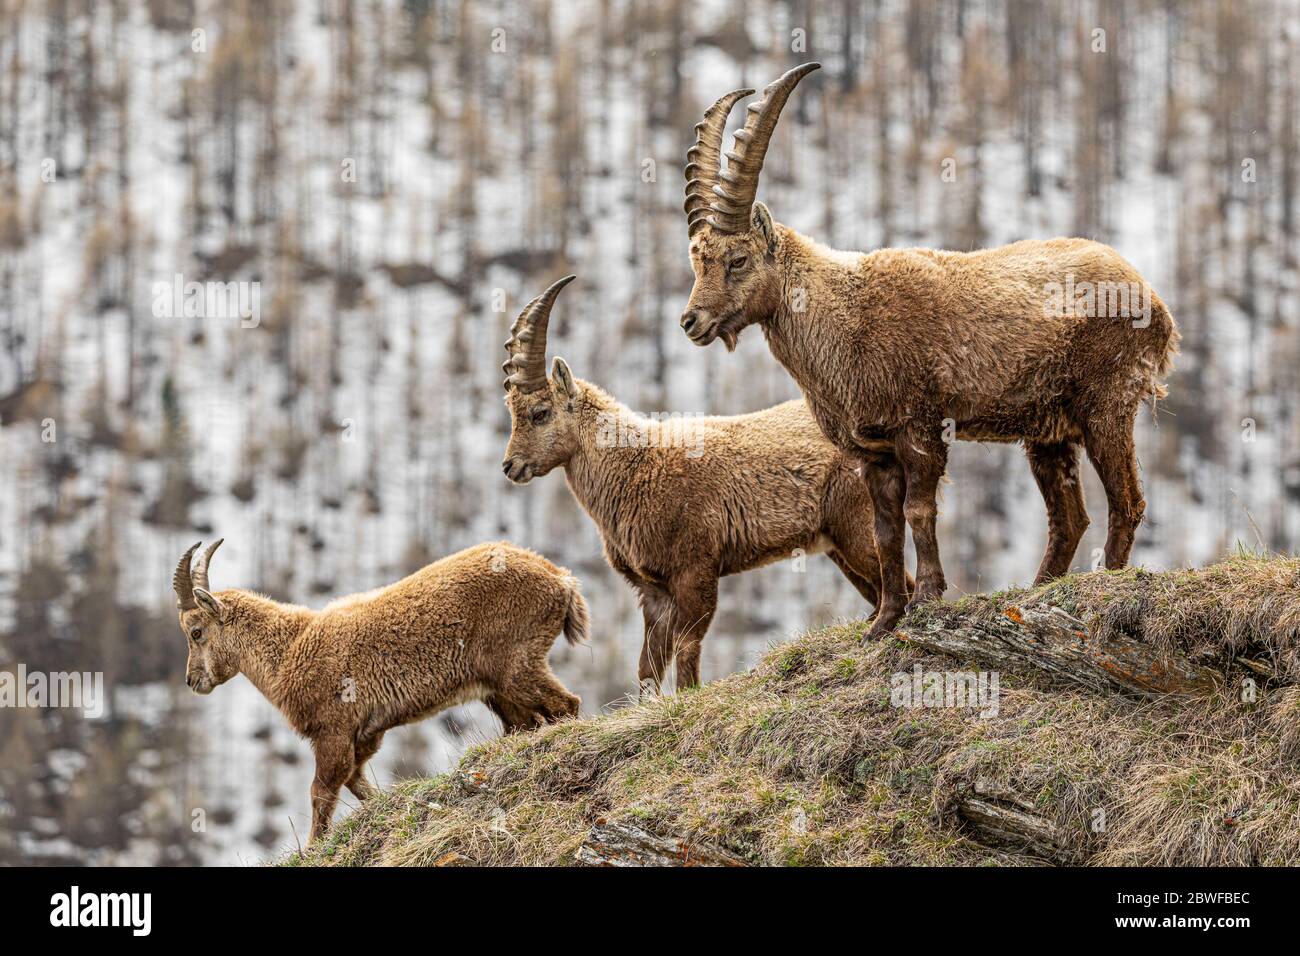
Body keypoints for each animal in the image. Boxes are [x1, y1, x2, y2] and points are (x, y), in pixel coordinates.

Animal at [171, 538, 585, 842]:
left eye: (196, 632)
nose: (193, 681)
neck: (290, 649)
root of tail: (561, 580)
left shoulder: (334, 729)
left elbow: (322, 791)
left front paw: (313, 848)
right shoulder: (366, 733)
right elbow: (357, 783)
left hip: (516, 666)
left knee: (566, 704)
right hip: (499, 687)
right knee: (529, 722)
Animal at [501, 275, 900, 693]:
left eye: (540, 412)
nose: (511, 466)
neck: (635, 467)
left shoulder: (695, 569)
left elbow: (687, 649)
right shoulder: (653, 590)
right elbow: (648, 666)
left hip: (856, 528)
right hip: (837, 545)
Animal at [678, 62, 1179, 637]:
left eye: (737, 260)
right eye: (696, 261)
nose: (691, 322)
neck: (845, 318)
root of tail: (1153, 299)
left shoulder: (920, 427)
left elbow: (920, 512)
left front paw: (928, 598)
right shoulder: (871, 452)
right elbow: (885, 529)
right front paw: (884, 621)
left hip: (1106, 405)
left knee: (1127, 502)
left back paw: (1106, 583)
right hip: (1047, 431)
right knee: (1069, 517)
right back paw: (1038, 592)